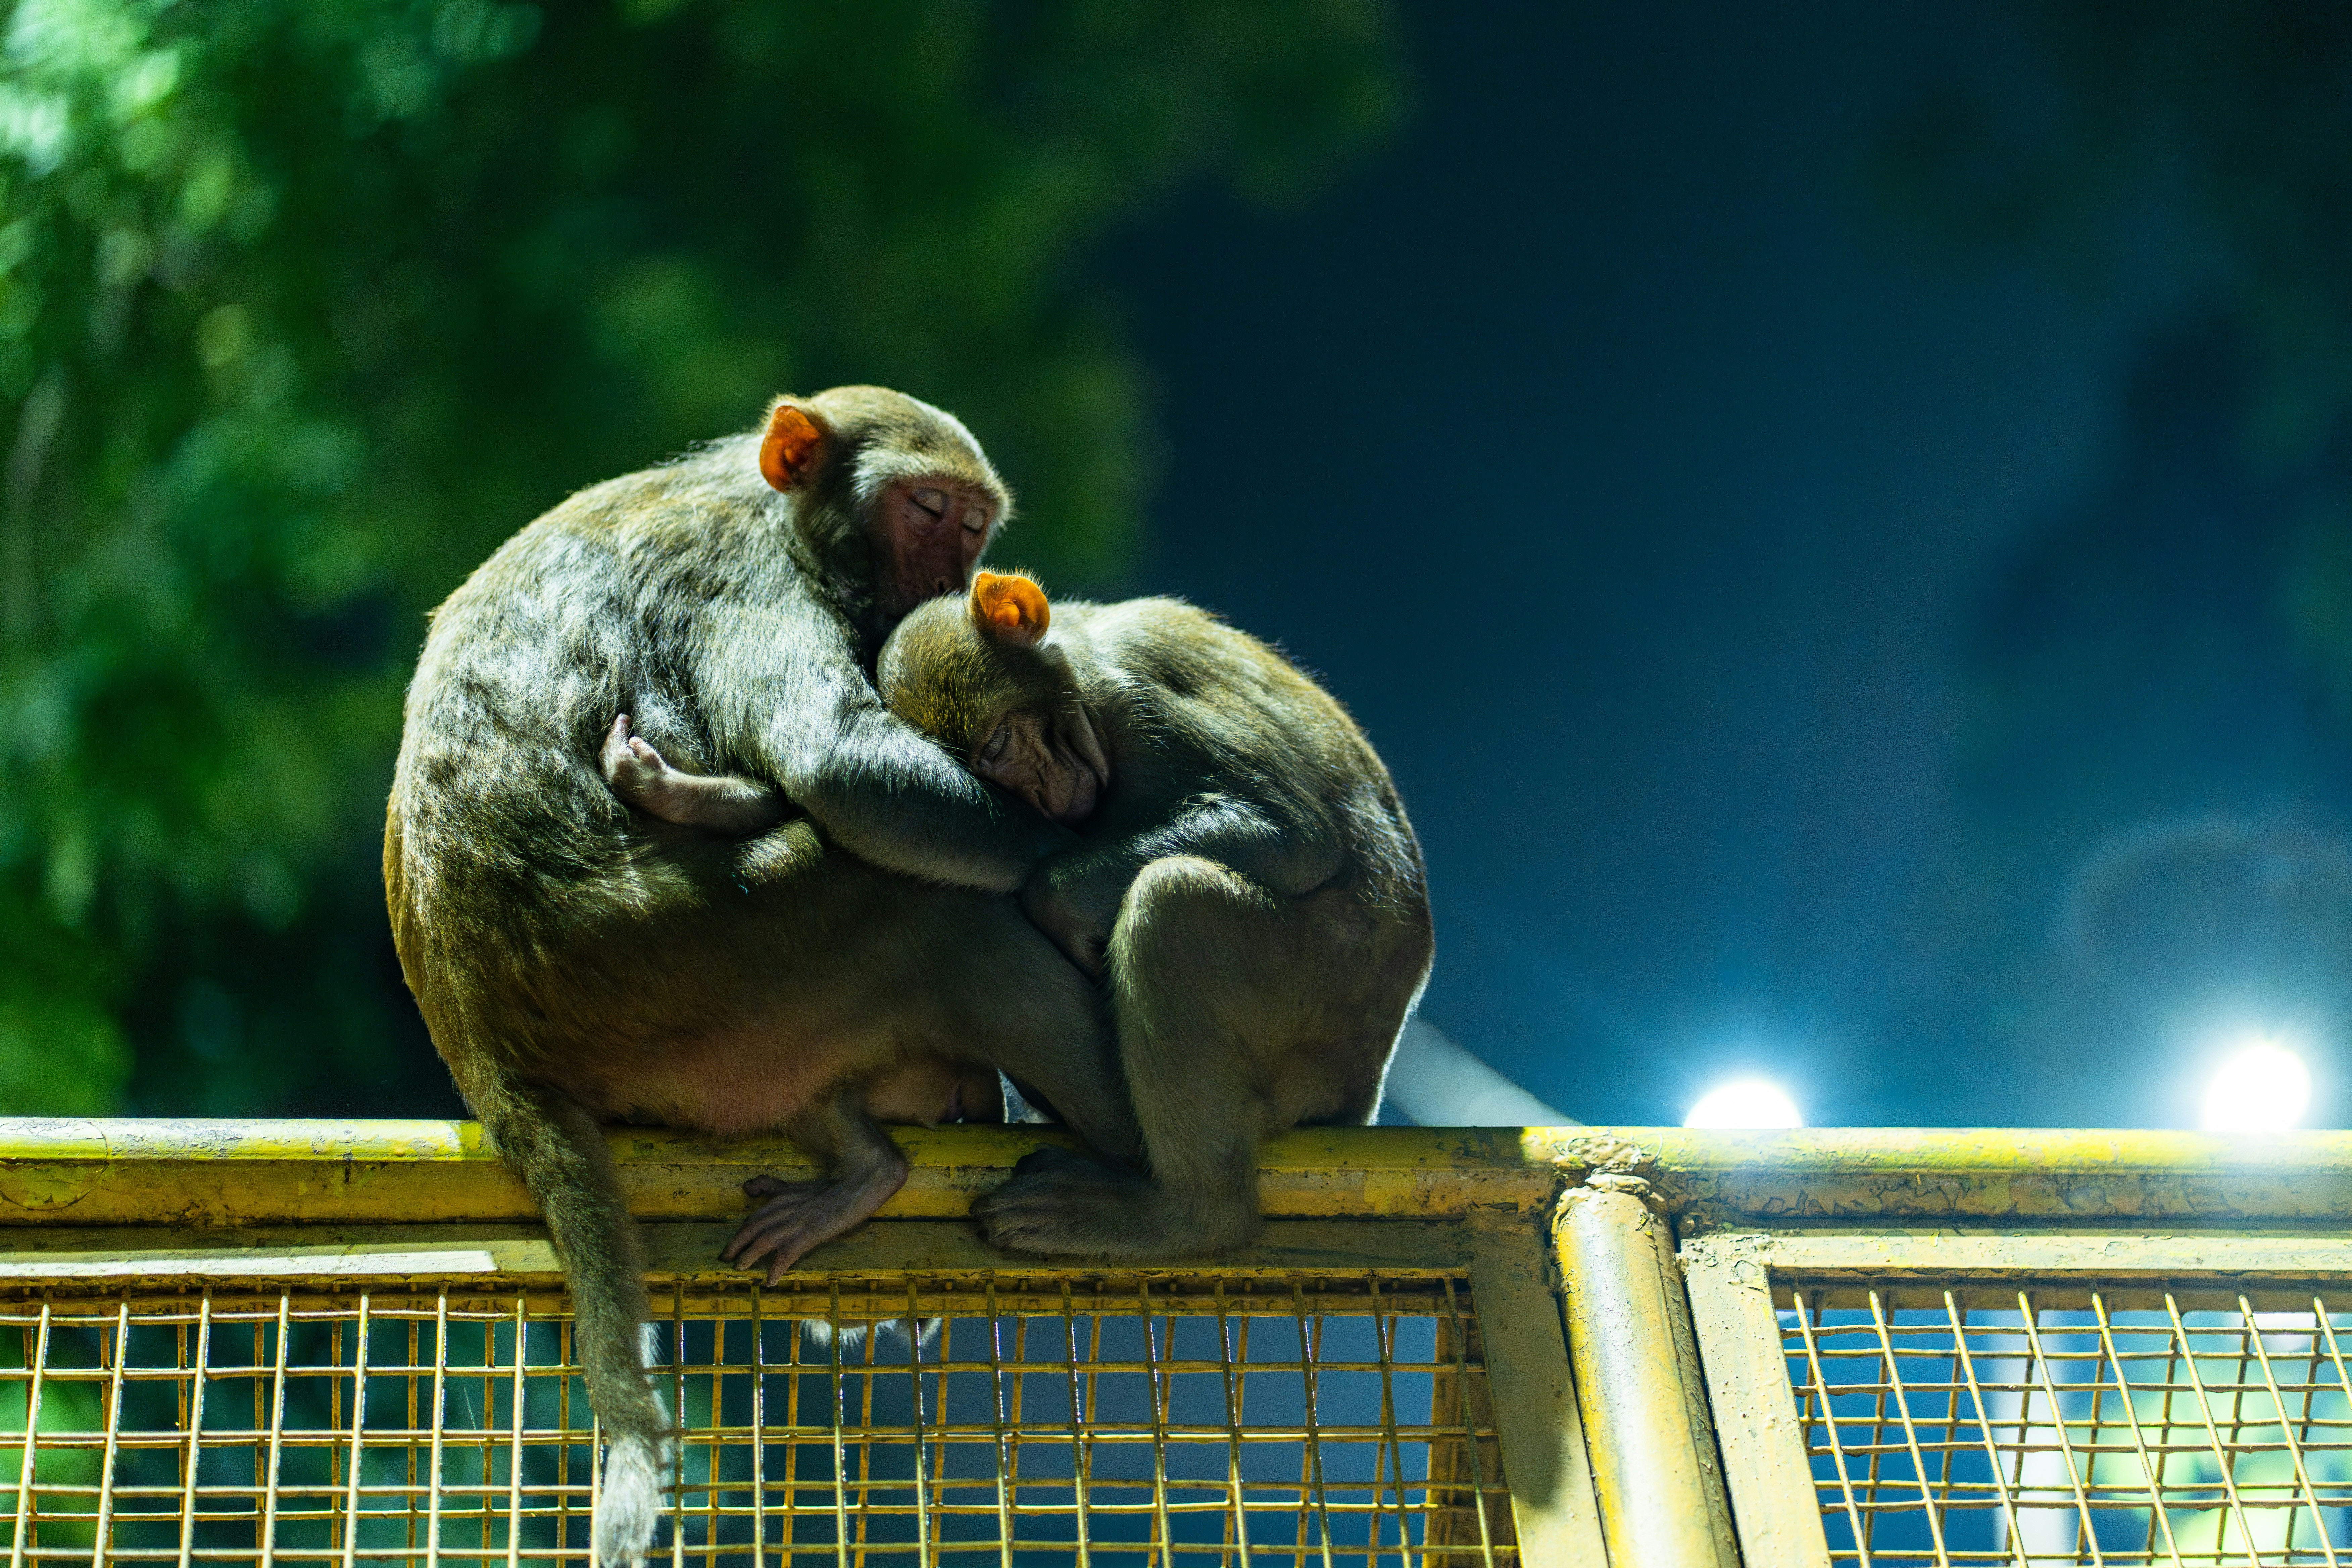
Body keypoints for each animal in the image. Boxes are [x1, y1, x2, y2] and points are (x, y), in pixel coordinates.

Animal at [384, 391, 1140, 1568]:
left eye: (974, 527)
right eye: (928, 512)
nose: (947, 578)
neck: (778, 512)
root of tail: (474, 1031)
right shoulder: (749, 579)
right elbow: (838, 764)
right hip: (690, 977)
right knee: (927, 909)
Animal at [602, 568, 1436, 1259]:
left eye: (1002, 742)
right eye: (983, 767)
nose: (1038, 791)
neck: (1087, 684)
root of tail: (1362, 1087)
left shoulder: (1140, 694)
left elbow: (1295, 836)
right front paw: (693, 798)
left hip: (1320, 1002)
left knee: (1174, 908)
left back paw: (1189, 1214)